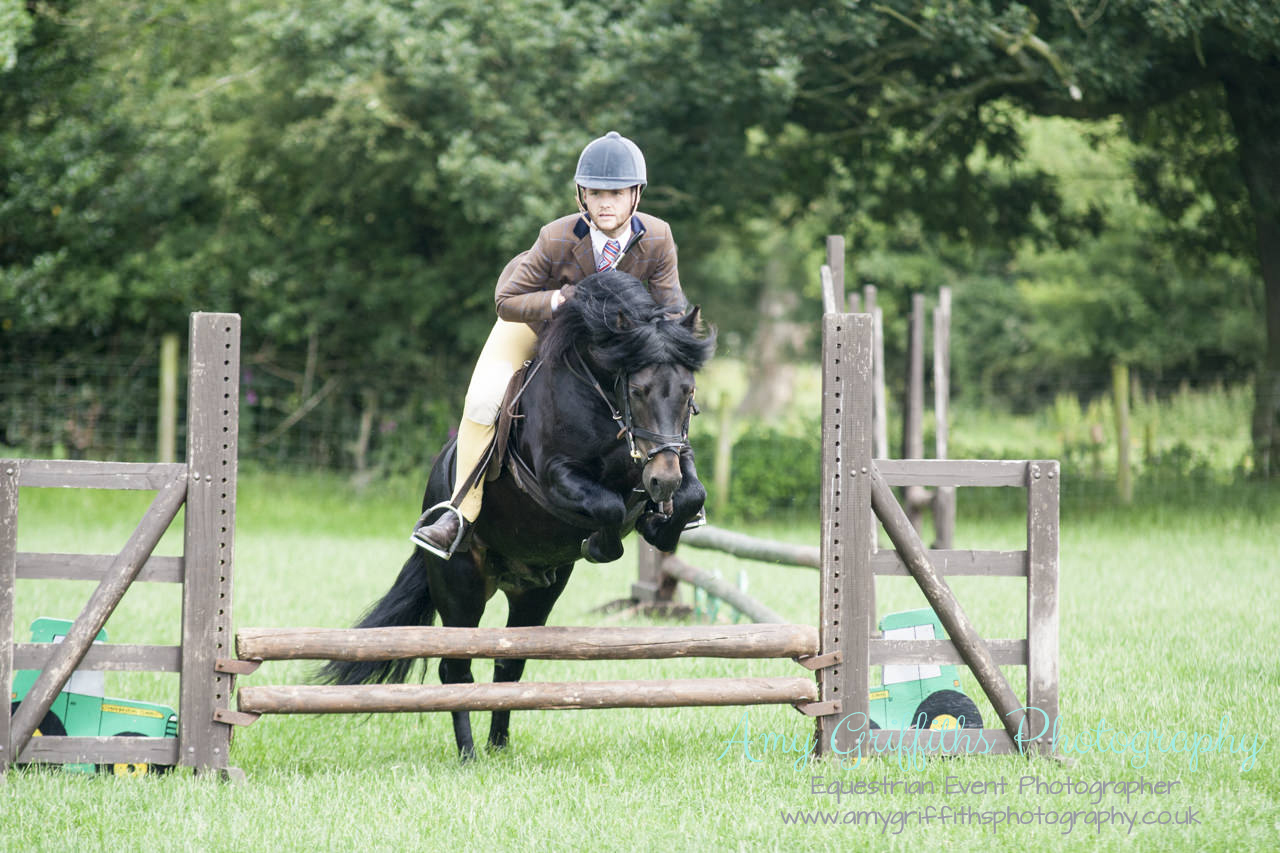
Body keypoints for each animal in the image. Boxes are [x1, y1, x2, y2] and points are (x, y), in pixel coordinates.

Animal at [317, 270, 716, 759]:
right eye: (637, 390)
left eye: (688, 392)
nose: (661, 481)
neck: (604, 399)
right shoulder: (554, 476)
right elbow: (607, 505)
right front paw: (600, 543)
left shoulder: (674, 463)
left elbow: (691, 494)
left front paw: (660, 525)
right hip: (461, 586)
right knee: (456, 670)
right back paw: (470, 755)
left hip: (535, 594)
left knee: (509, 661)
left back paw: (498, 747)